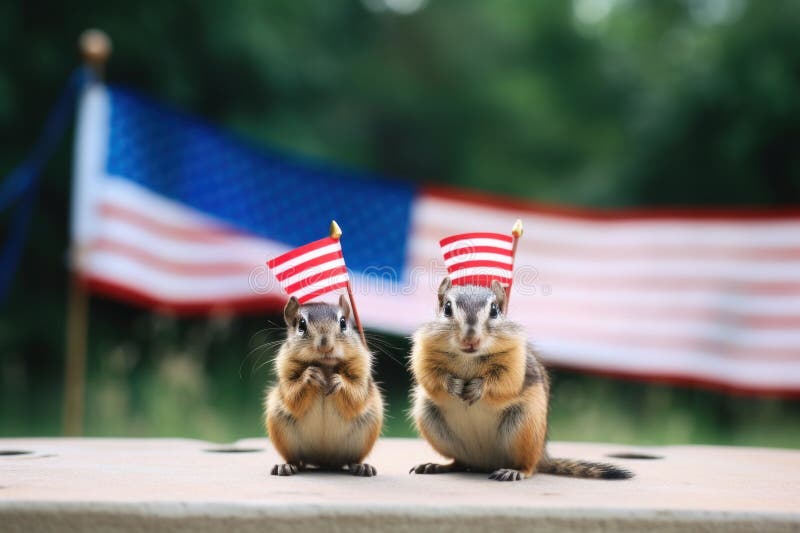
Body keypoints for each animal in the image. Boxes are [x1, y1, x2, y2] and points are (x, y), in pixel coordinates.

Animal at [265, 294, 384, 477]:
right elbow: (292, 397)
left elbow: (356, 396)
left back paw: (361, 467)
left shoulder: (361, 369)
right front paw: (310, 376)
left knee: (351, 460)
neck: (325, 366)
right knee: (296, 460)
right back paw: (286, 466)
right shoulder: (285, 370)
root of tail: (324, 461)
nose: (325, 345)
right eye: (301, 325)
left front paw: (338, 381)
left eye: (343, 322)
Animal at [409, 277, 633, 482]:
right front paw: (453, 385)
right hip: (430, 419)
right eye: (447, 308)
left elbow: (504, 382)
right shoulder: (424, 353)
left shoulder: (516, 361)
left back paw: (514, 471)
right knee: (460, 462)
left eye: (494, 311)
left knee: (530, 466)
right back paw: (436, 466)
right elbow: (429, 377)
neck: (468, 357)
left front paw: (478, 388)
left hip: (525, 426)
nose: (471, 339)